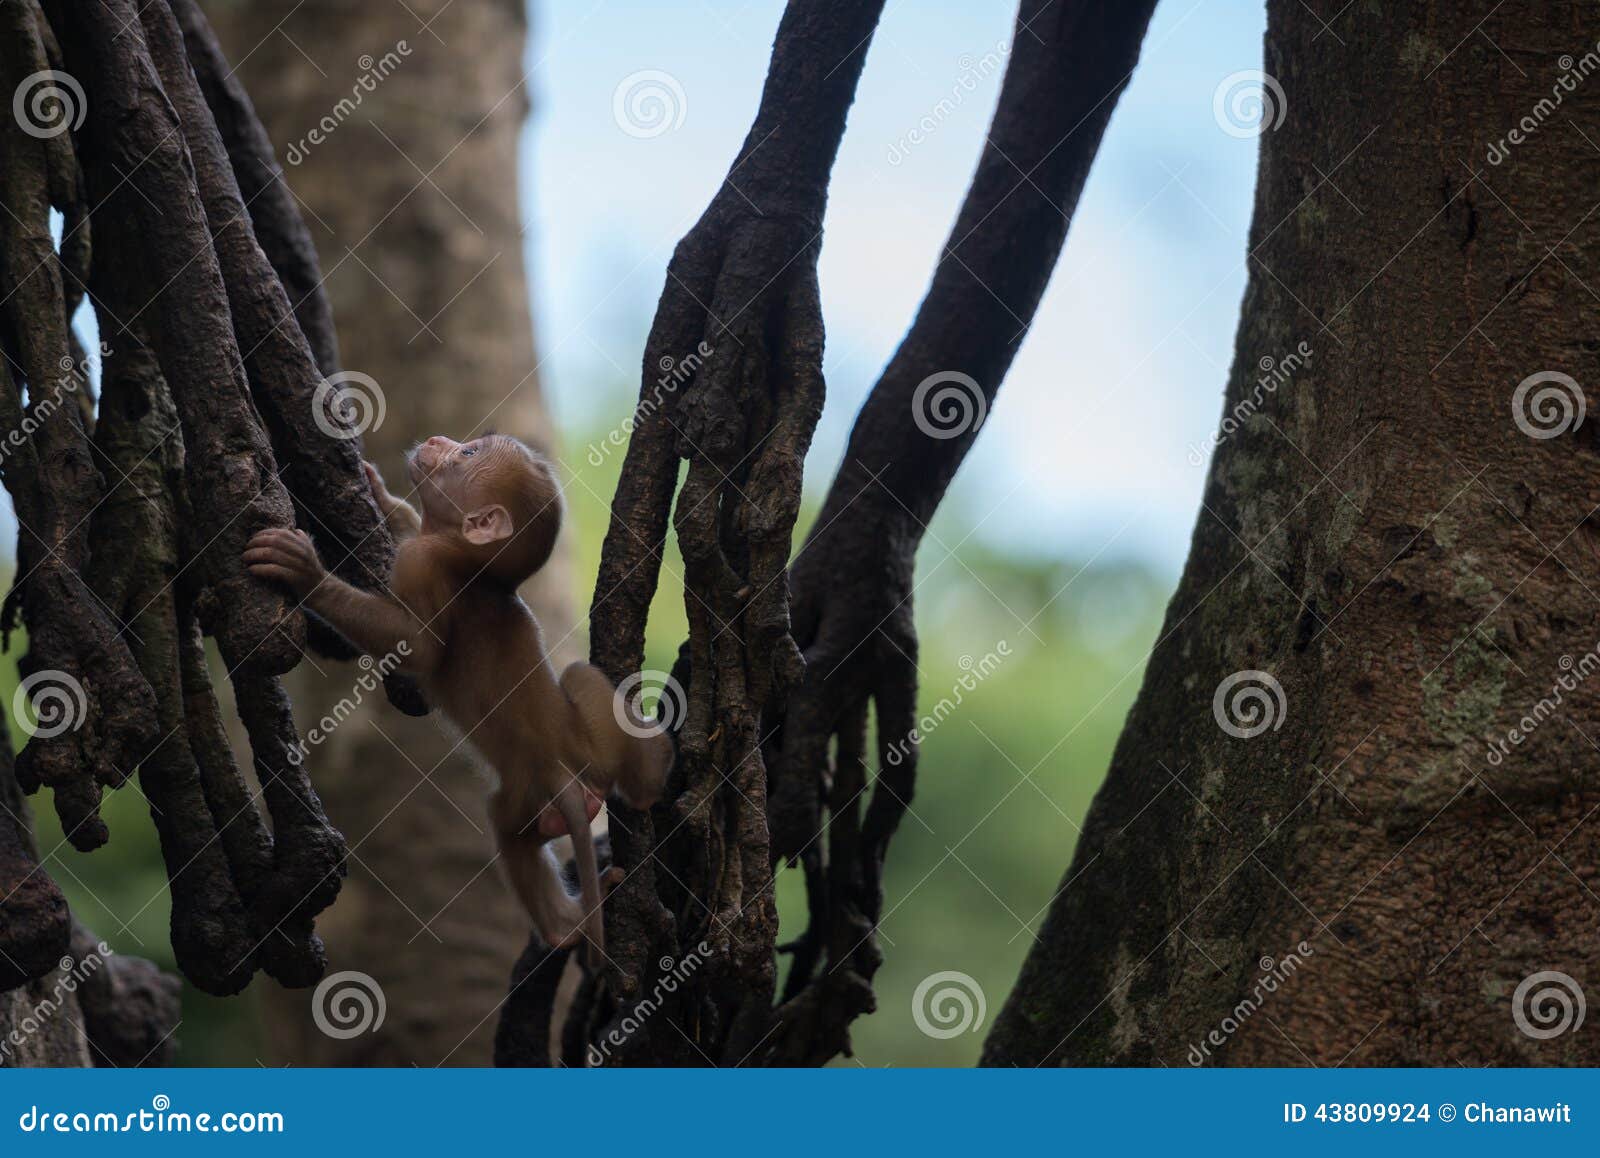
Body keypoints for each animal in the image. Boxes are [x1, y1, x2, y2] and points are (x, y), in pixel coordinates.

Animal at [243, 434, 672, 967]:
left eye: (468, 455)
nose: (436, 442)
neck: (471, 565)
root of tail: (566, 769)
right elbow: (407, 525)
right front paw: (384, 496)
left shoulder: (421, 563)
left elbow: (417, 645)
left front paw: (307, 574)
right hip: (595, 751)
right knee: (579, 680)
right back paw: (654, 770)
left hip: (527, 794)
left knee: (510, 829)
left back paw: (564, 928)